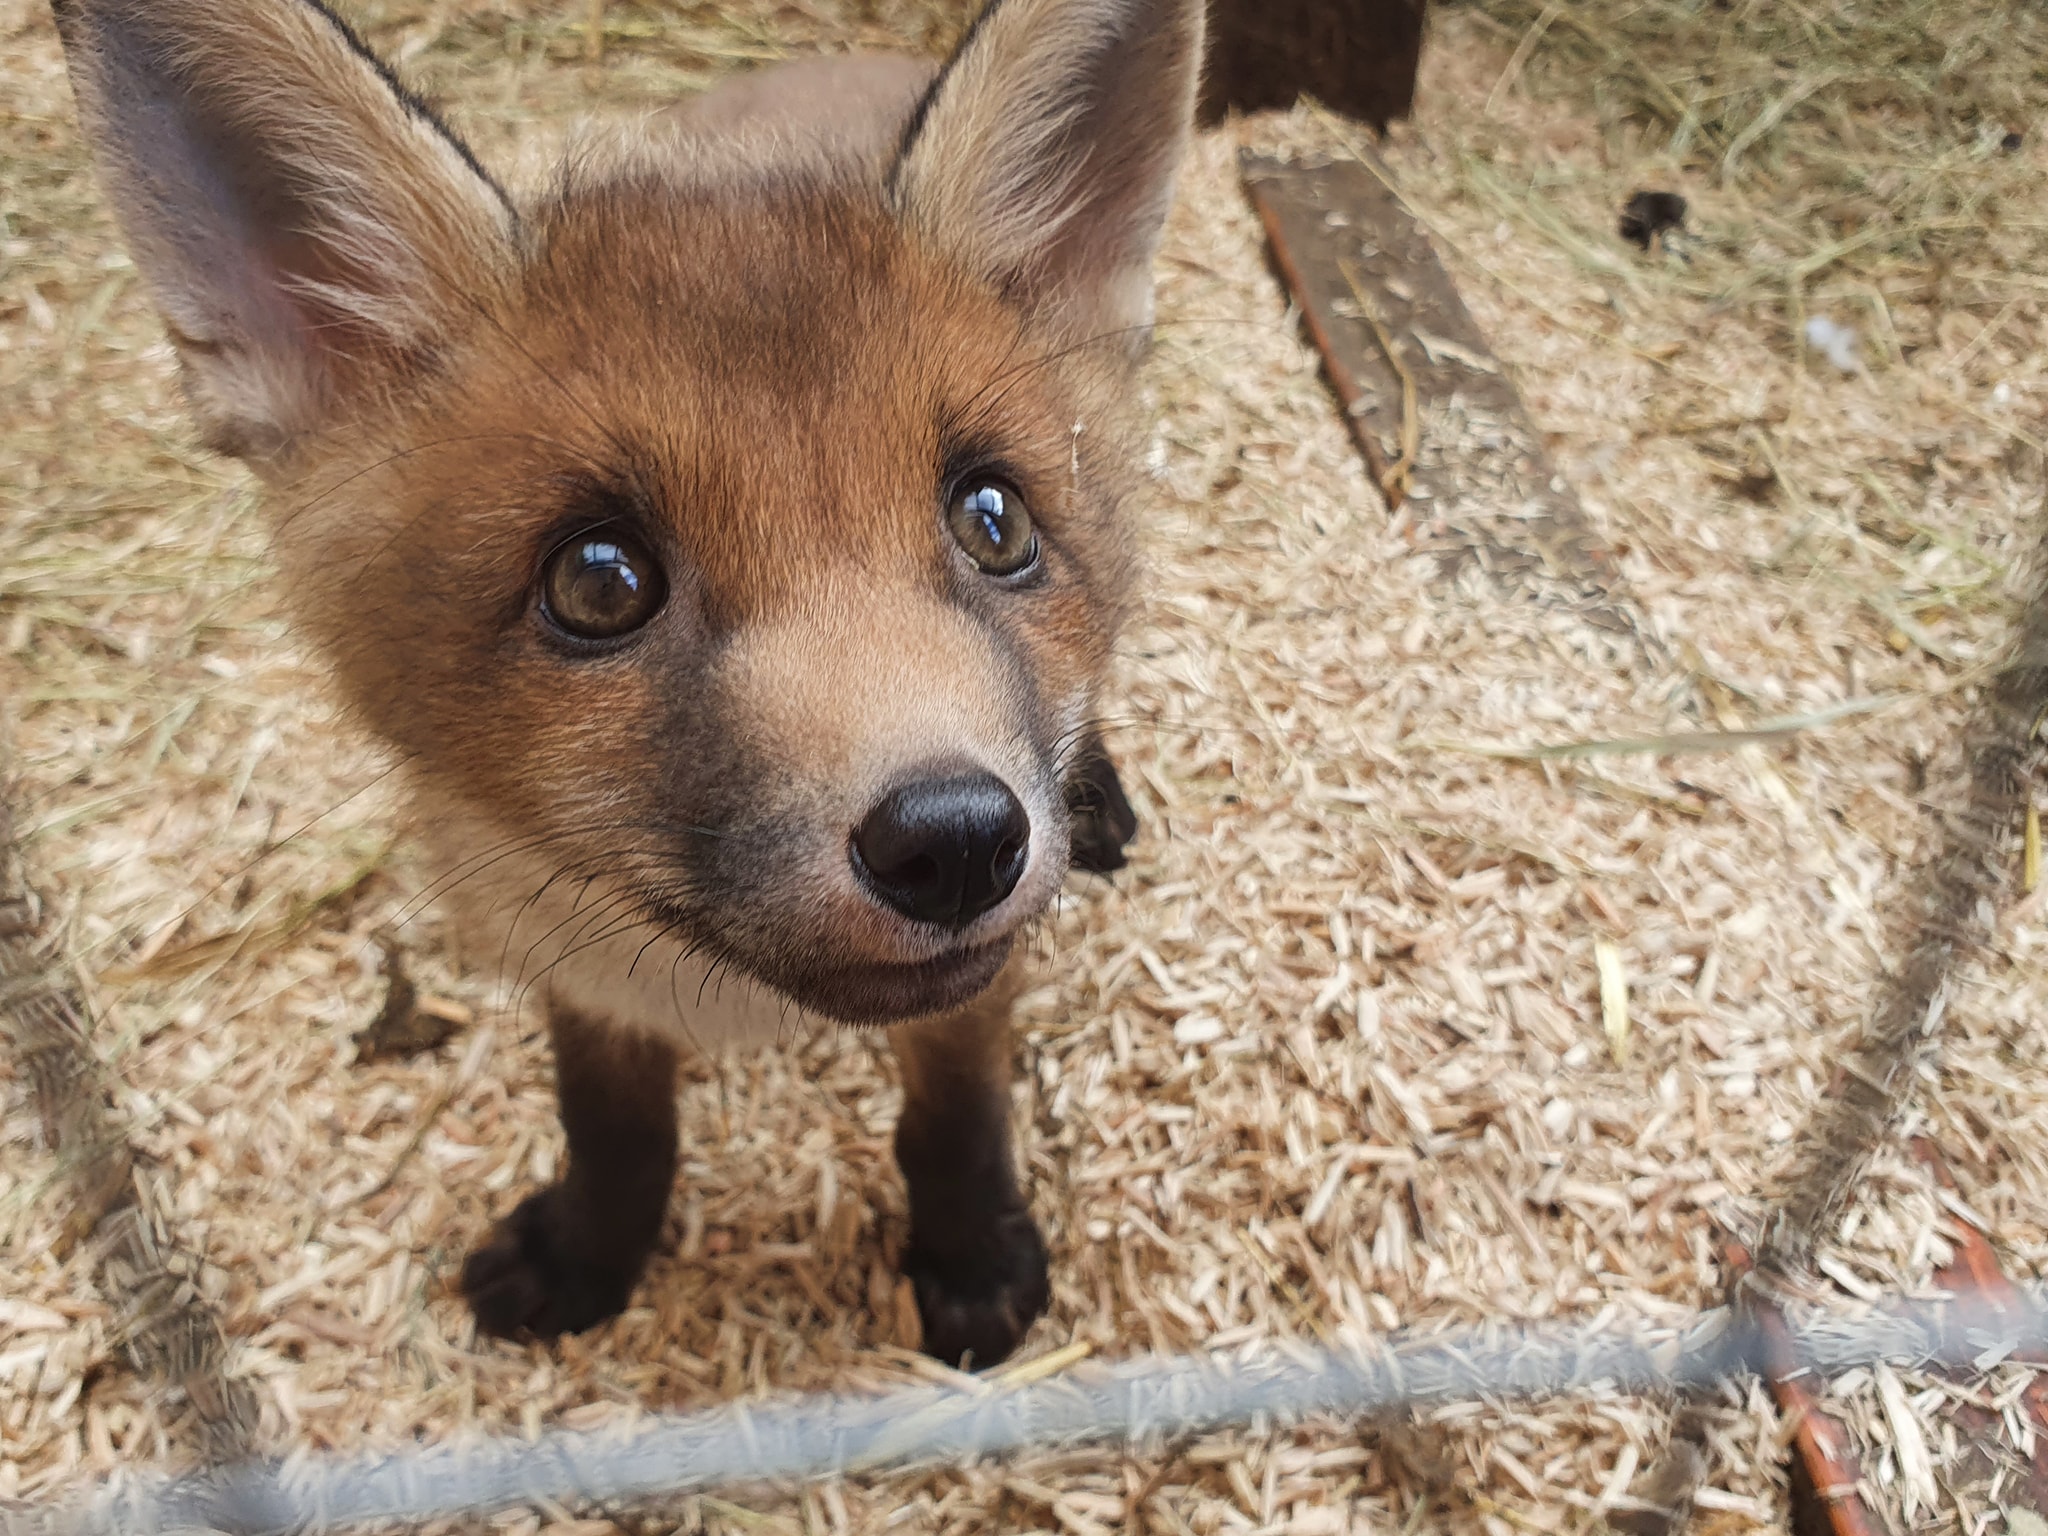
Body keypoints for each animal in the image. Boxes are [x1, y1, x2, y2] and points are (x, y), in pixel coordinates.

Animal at [53, 0, 1196, 1365]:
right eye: (600, 582)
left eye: (992, 520)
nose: (957, 839)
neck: (732, 995)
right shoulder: (567, 971)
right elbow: (613, 1129)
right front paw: (591, 1256)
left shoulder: (977, 985)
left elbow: (956, 1118)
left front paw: (973, 1257)